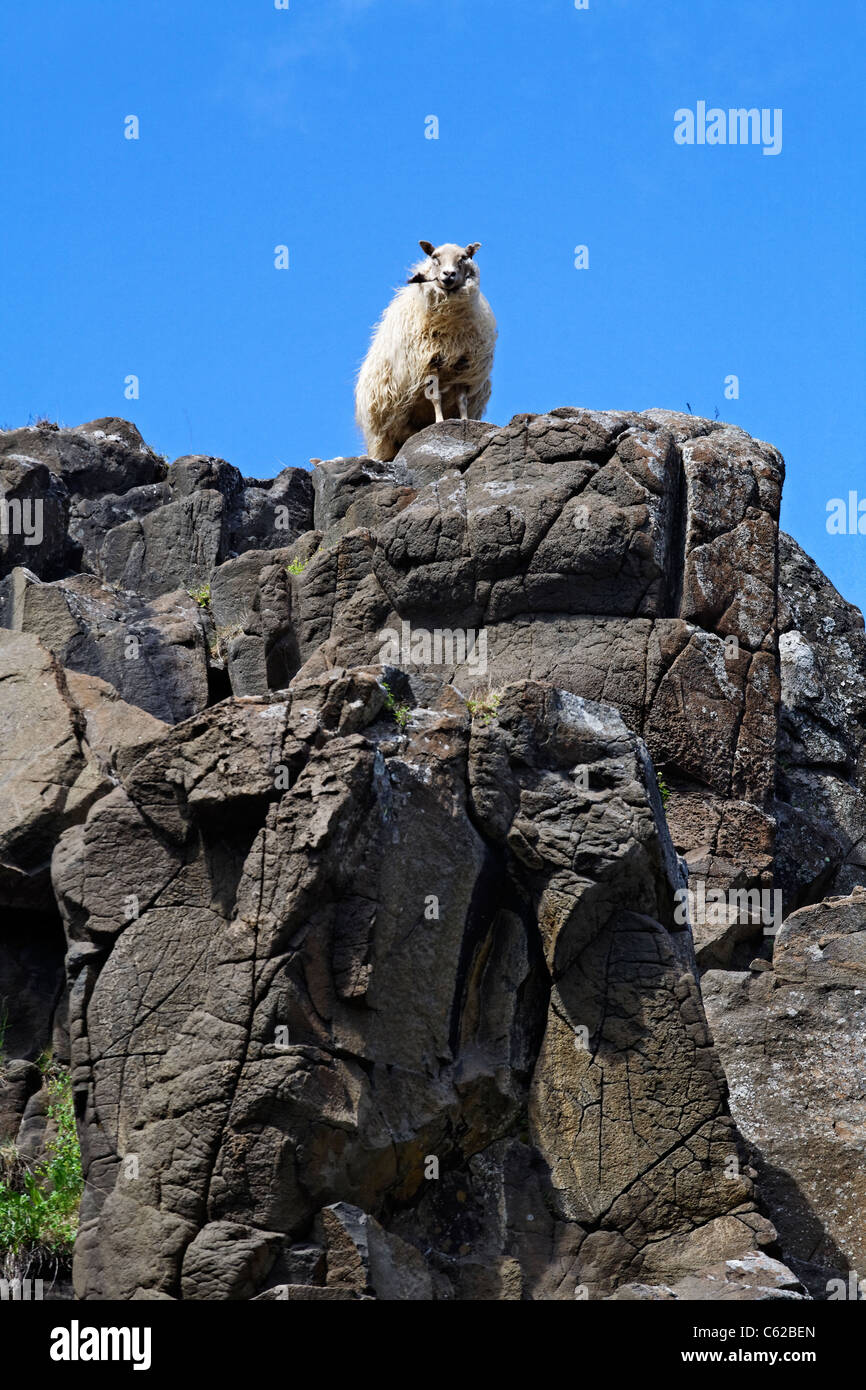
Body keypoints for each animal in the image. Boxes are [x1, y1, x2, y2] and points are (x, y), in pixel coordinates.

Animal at [355, 240, 497, 462]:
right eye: (435, 257)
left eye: (464, 258)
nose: (448, 275)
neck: (449, 326)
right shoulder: (428, 365)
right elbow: (436, 397)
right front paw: (439, 422)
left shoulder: (464, 369)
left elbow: (462, 401)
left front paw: (464, 421)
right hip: (381, 432)